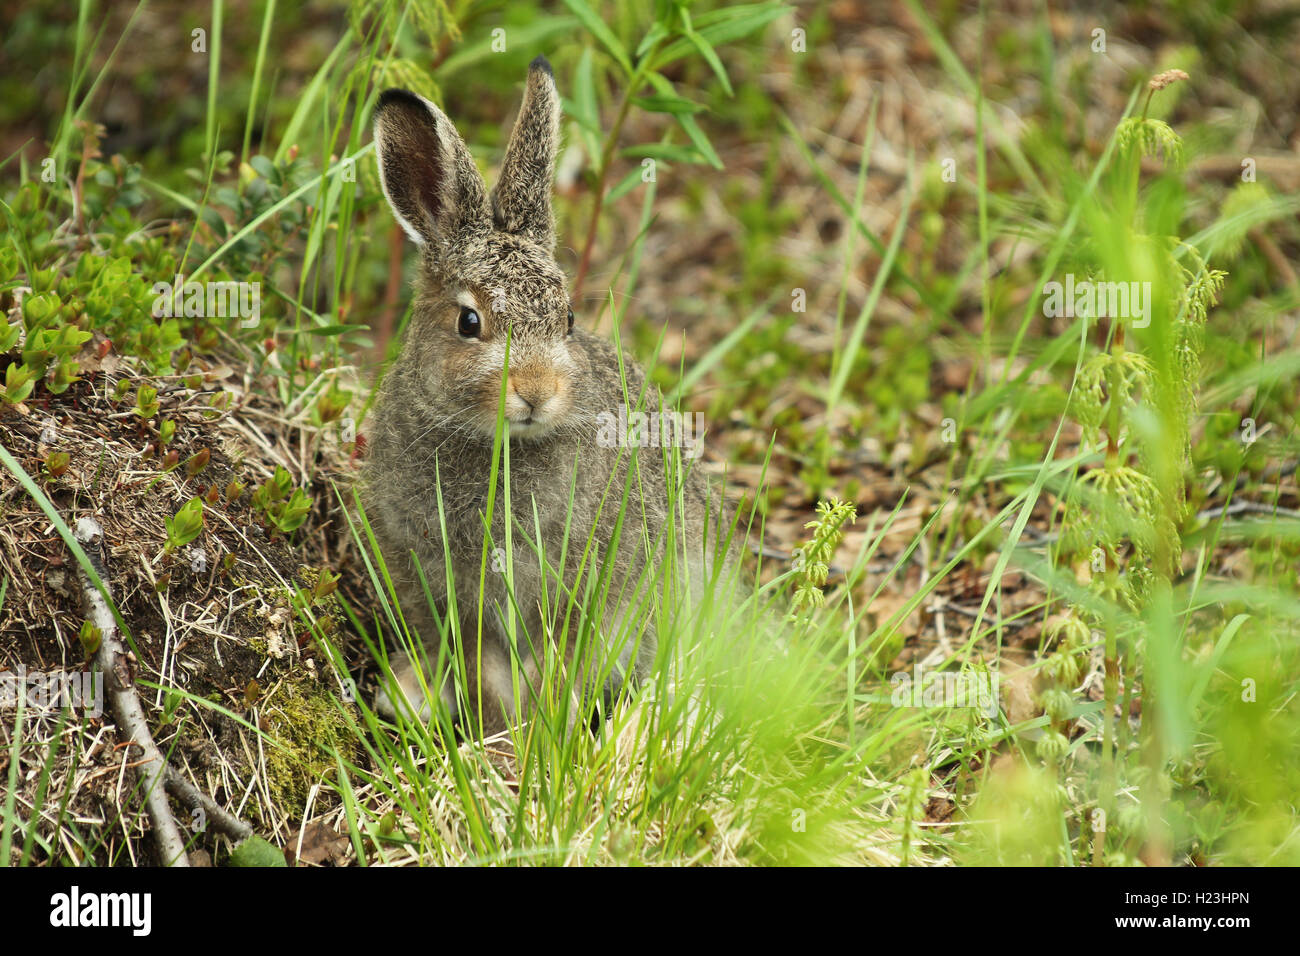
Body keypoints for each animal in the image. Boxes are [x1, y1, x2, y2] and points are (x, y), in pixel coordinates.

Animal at [363, 56, 734, 736]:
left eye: (566, 320)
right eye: (470, 323)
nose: (537, 392)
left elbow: (554, 666)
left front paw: (531, 730)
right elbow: (476, 659)